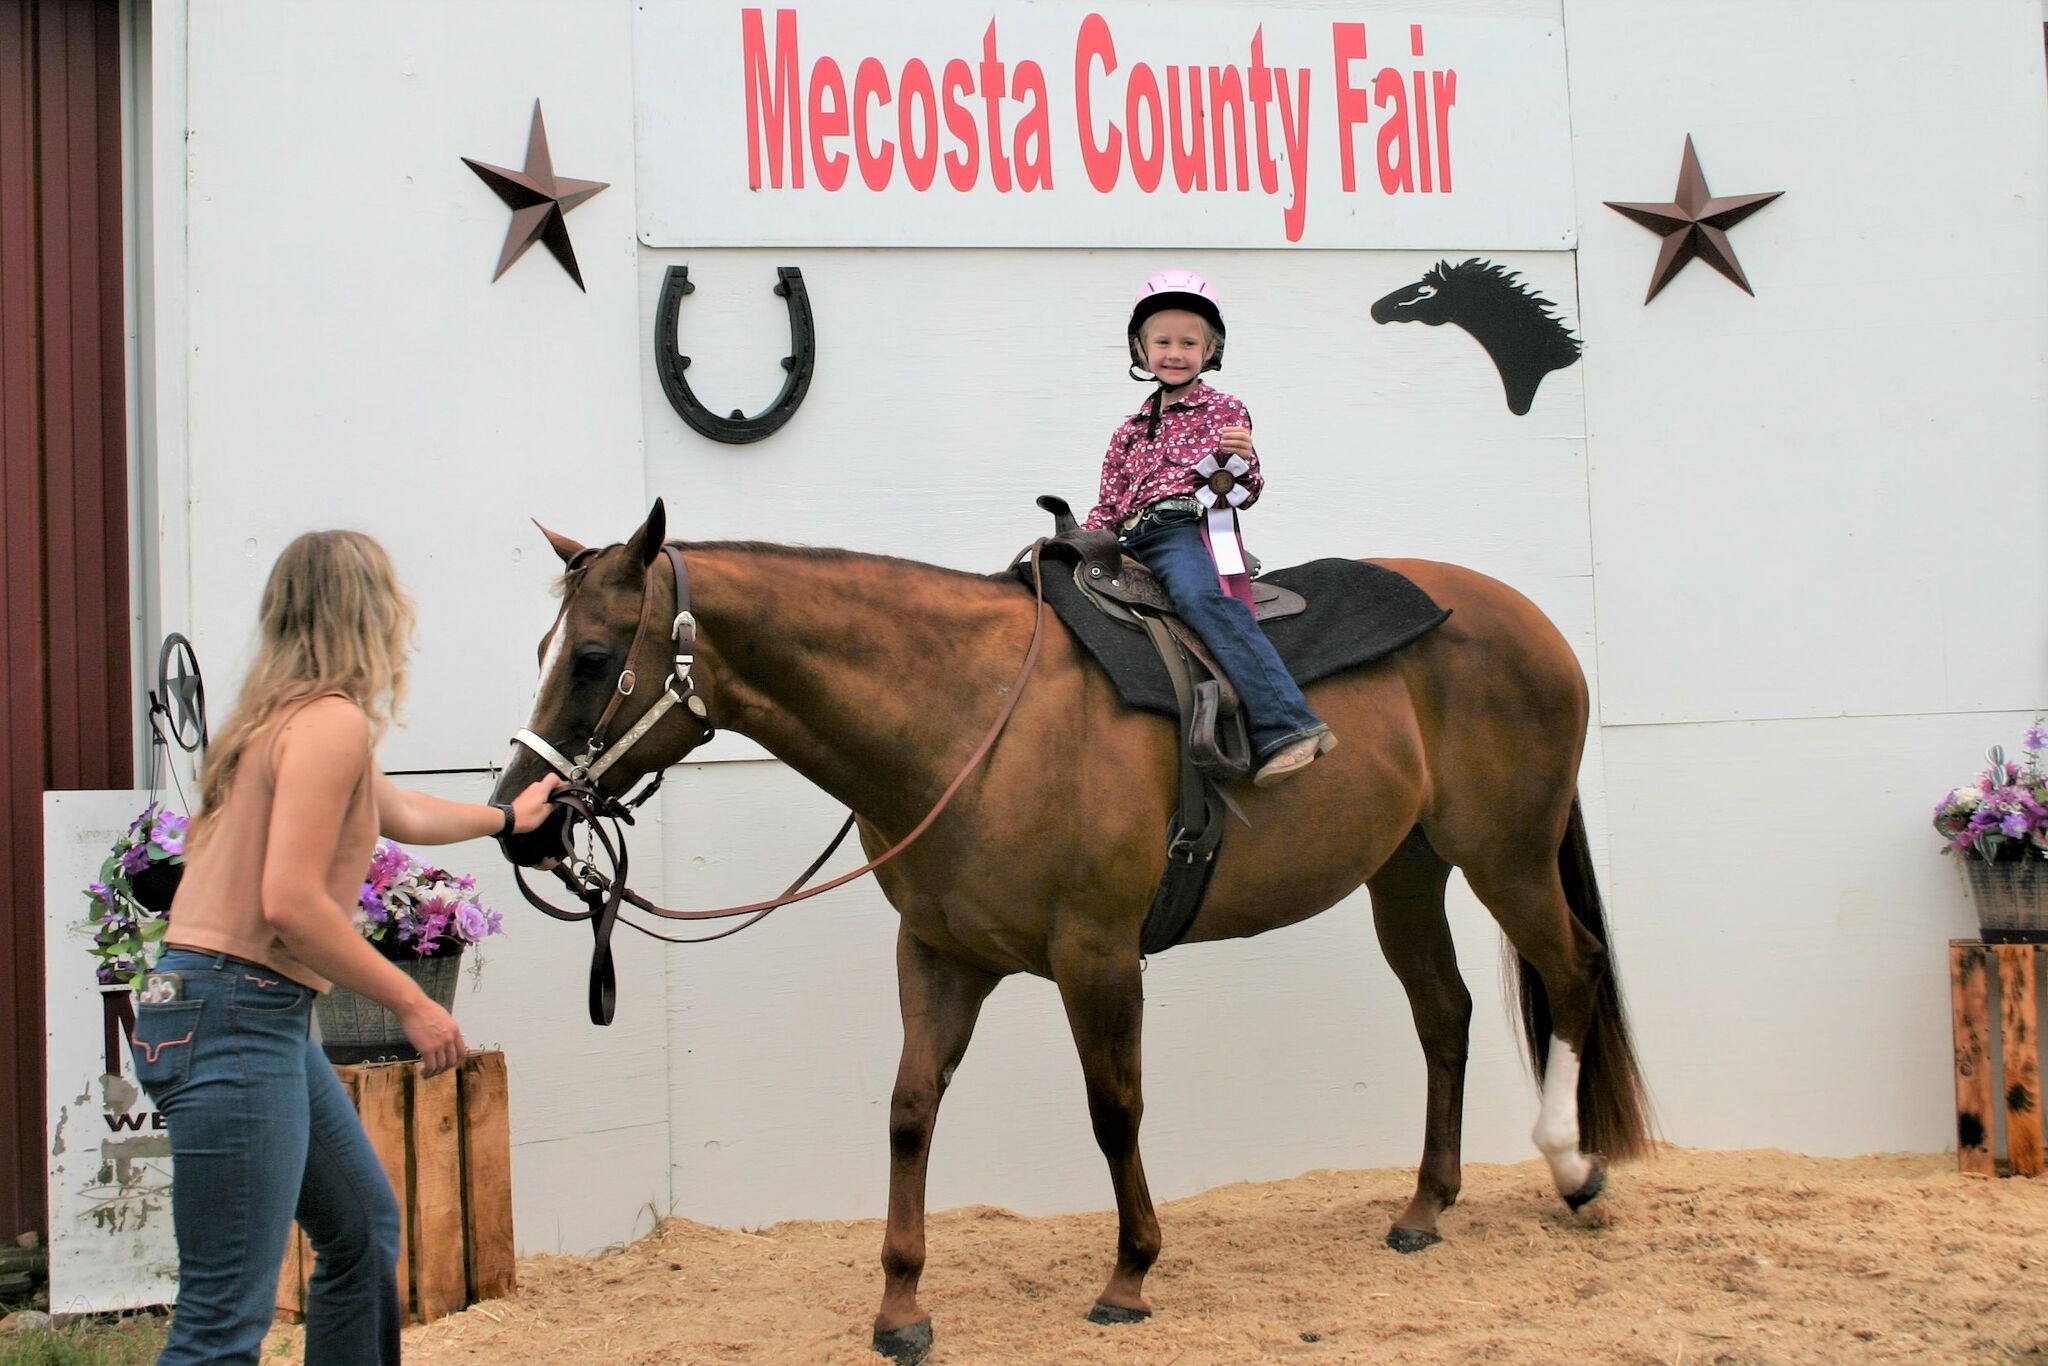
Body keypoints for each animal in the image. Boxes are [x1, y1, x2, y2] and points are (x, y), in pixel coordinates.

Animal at [491, 499, 1651, 1364]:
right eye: (543, 646)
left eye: (591, 656)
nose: (522, 820)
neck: (966, 717)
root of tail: (1536, 627)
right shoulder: (939, 955)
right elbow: (910, 1111)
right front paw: (901, 1308)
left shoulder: (1096, 956)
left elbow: (1113, 1108)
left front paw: (1130, 1271)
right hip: (1405, 870)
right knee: (1444, 1013)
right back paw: (1425, 1206)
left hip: (1505, 856)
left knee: (1573, 970)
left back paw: (1573, 1169)